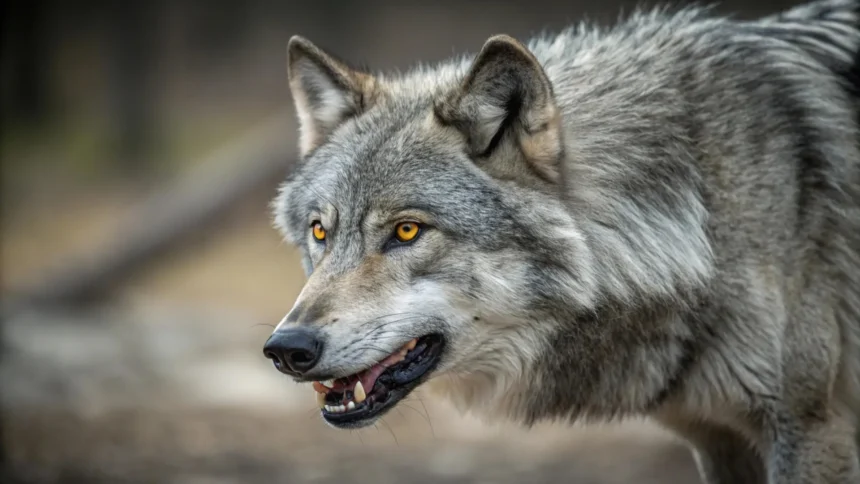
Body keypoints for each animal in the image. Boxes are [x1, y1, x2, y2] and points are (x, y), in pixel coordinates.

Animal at [262, 1, 860, 482]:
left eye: (407, 230)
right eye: (320, 231)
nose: (287, 348)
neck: (702, 211)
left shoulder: (810, 427)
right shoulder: (718, 438)